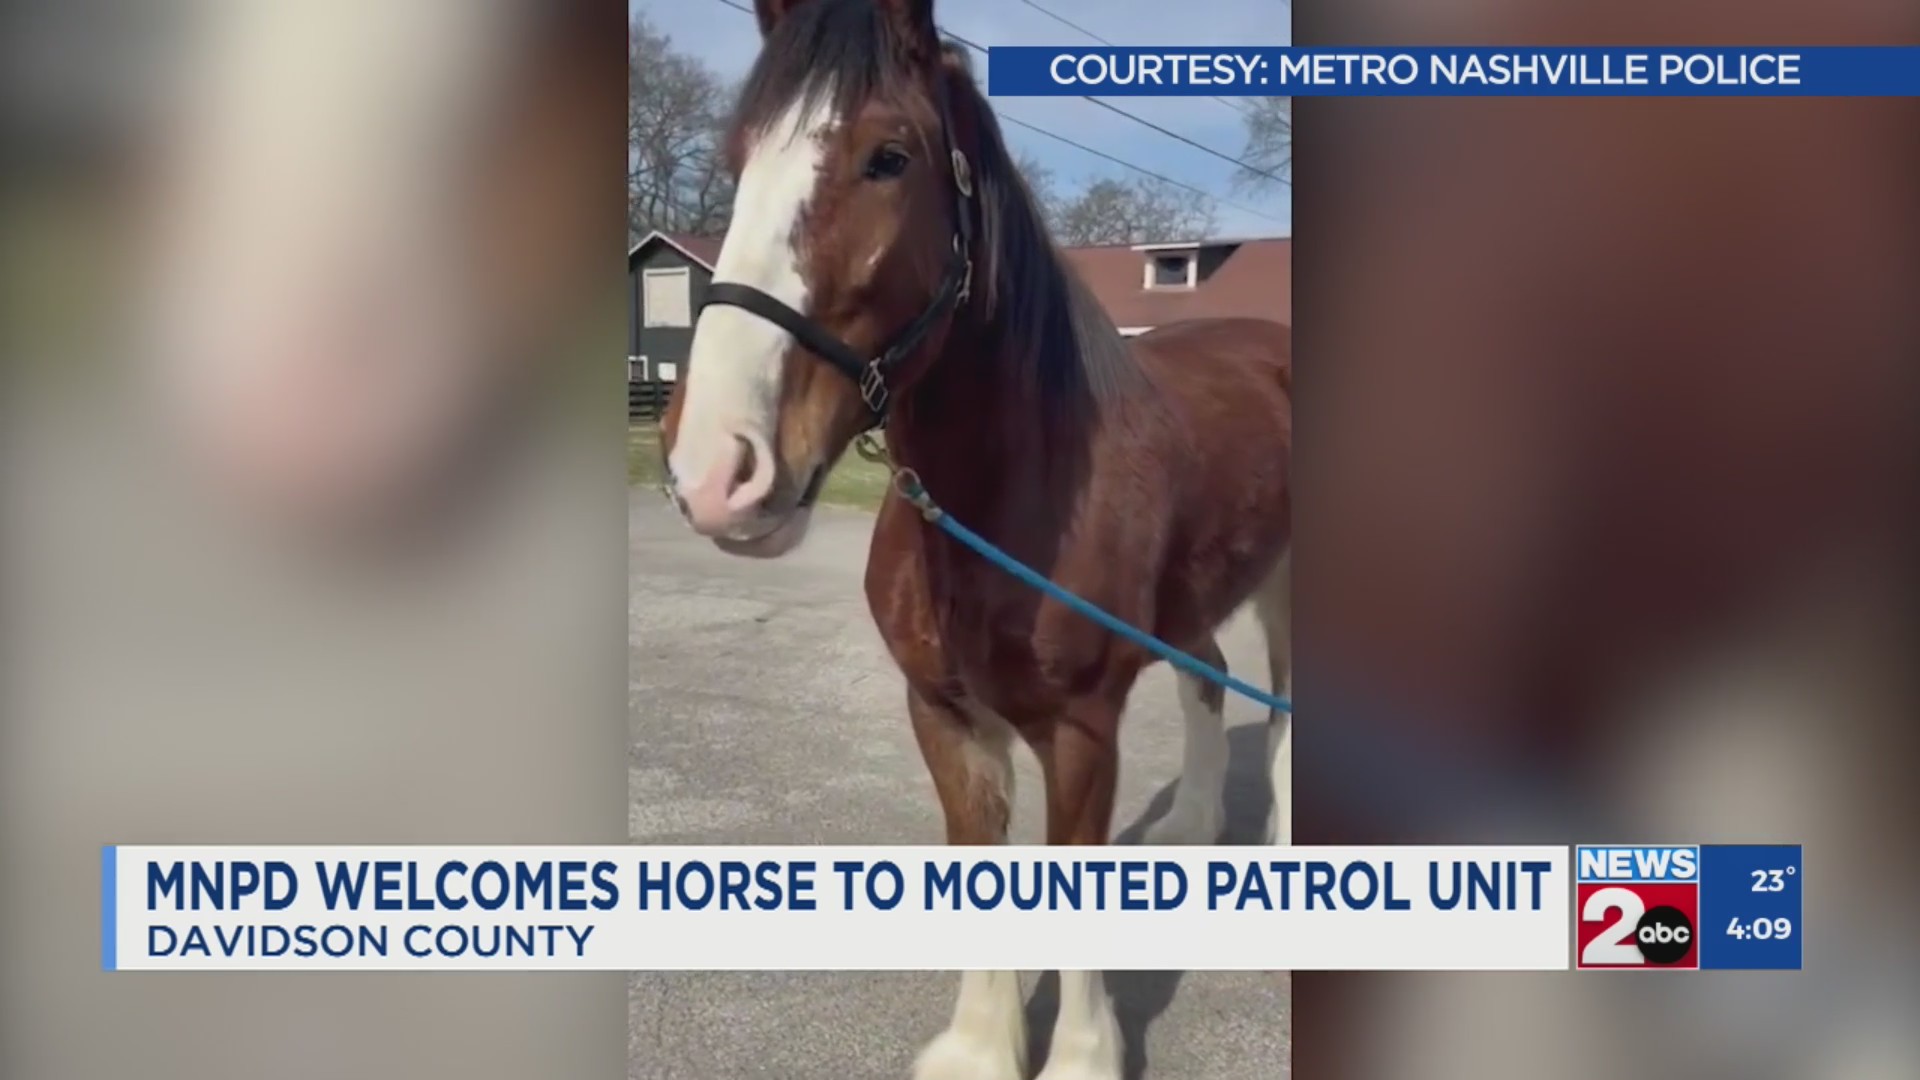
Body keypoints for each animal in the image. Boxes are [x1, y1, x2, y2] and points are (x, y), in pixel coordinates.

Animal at [658, 1, 1291, 1077]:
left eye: (889, 157)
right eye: (739, 158)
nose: (711, 469)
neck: (1009, 490)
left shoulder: (1081, 731)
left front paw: (1081, 1055)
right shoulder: (945, 715)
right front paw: (981, 1048)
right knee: (1207, 674)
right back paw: (1194, 836)